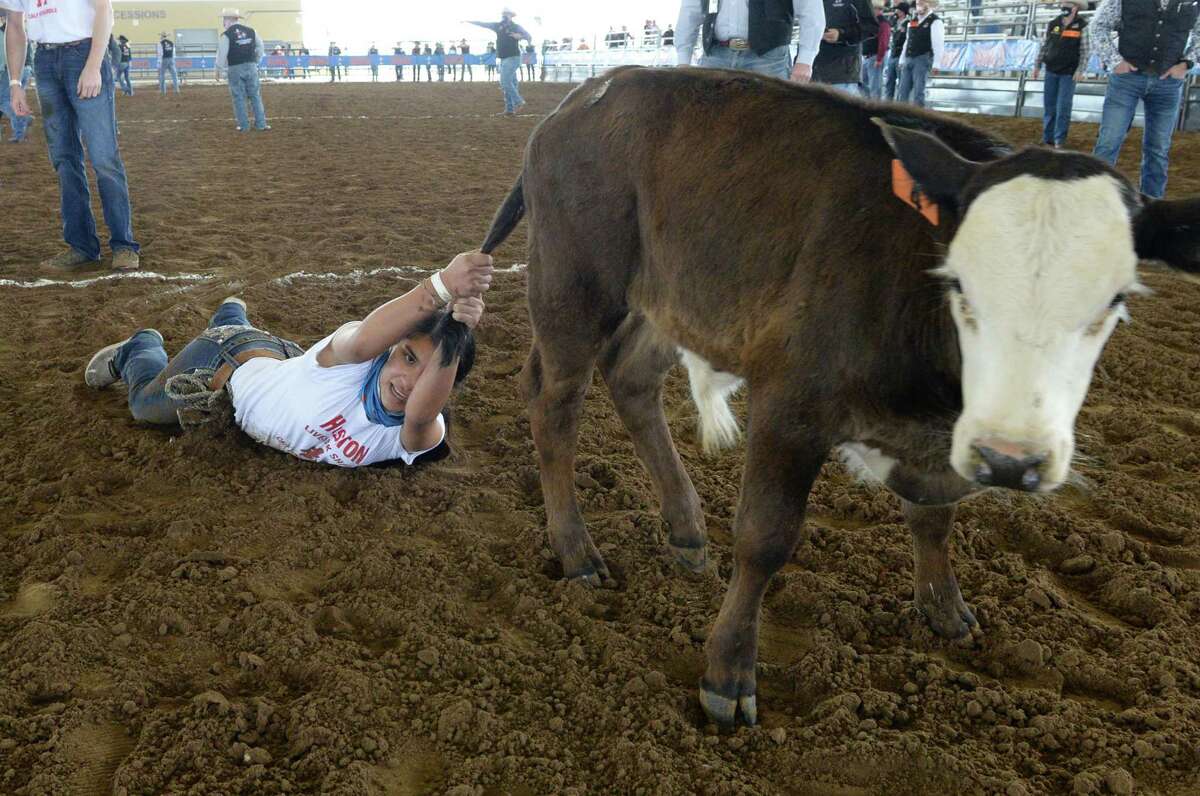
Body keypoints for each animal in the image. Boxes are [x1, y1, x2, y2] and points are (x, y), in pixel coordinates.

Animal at [478, 66, 1200, 726]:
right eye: (958, 280)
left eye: (1116, 297)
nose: (1011, 460)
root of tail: (582, 95)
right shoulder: (788, 405)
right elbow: (765, 537)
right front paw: (728, 674)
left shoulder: (946, 439)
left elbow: (935, 518)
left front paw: (944, 608)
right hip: (572, 287)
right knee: (554, 400)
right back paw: (577, 551)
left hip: (671, 298)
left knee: (631, 379)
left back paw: (685, 530)